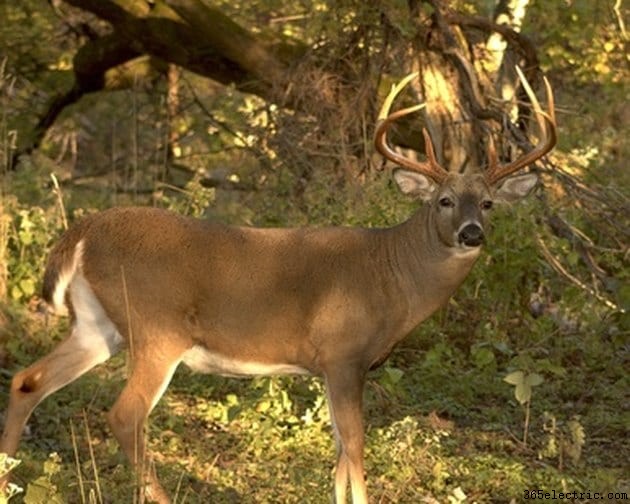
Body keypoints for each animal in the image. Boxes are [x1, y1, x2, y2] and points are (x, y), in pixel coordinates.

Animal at [0, 68, 556, 504]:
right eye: (444, 200)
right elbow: (355, 447)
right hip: (157, 328)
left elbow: (338, 452)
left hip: (98, 326)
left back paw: (7, 478)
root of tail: (83, 231)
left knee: (28, 379)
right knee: (124, 415)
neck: (391, 272)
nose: (471, 233)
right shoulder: (344, 354)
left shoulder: (334, 367)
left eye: (489, 203)